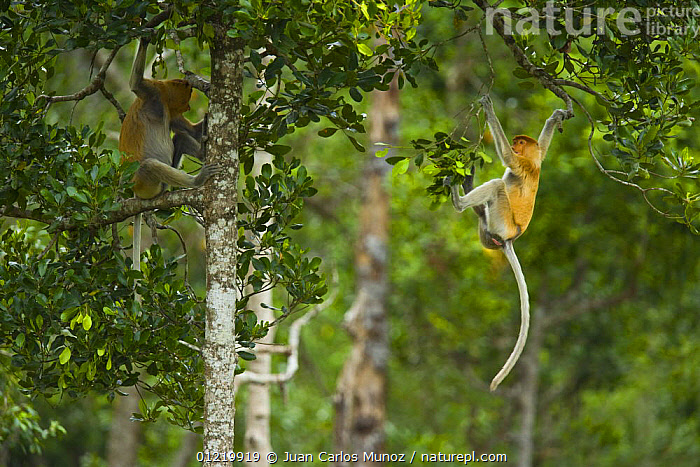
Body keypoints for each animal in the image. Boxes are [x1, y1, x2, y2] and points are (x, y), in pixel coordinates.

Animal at [119, 38, 221, 272]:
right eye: (187, 98)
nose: (189, 106)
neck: (163, 102)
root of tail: (135, 193)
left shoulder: (170, 111)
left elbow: (189, 131)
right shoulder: (152, 91)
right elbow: (135, 83)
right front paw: (146, 35)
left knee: (180, 138)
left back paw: (202, 151)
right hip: (145, 184)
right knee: (149, 165)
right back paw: (197, 179)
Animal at [448, 95, 567, 391]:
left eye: (519, 142)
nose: (515, 143)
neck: (533, 164)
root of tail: (511, 237)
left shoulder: (524, 164)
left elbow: (507, 158)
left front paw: (488, 107)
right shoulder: (537, 159)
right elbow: (544, 146)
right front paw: (555, 117)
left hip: (501, 220)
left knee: (495, 186)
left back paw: (459, 199)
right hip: (492, 228)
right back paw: (469, 188)